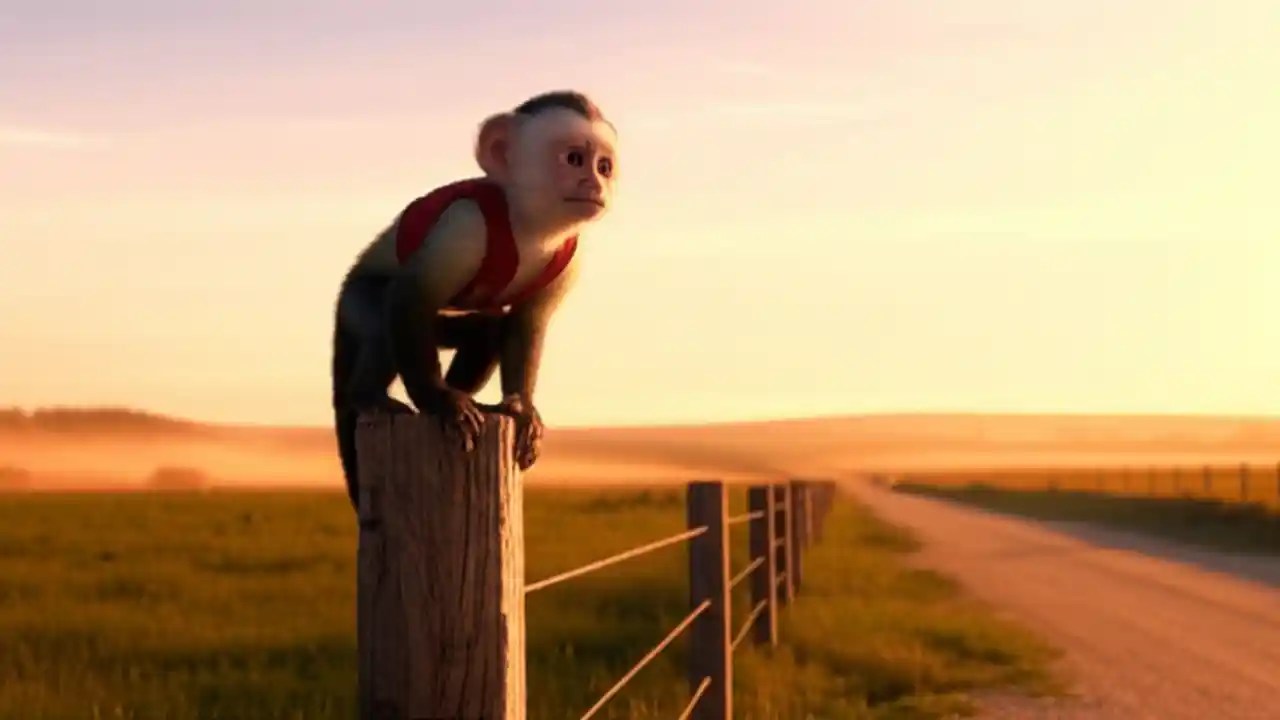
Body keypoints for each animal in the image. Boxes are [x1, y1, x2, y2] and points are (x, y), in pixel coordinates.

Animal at [330, 90, 618, 510]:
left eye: (604, 166)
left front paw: (521, 408)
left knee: (484, 331)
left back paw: (472, 398)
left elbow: (528, 322)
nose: (594, 183)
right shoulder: (465, 223)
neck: (528, 227)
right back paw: (371, 395)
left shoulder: (572, 254)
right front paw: (439, 401)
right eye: (574, 159)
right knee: (382, 316)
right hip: (354, 298)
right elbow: (410, 296)